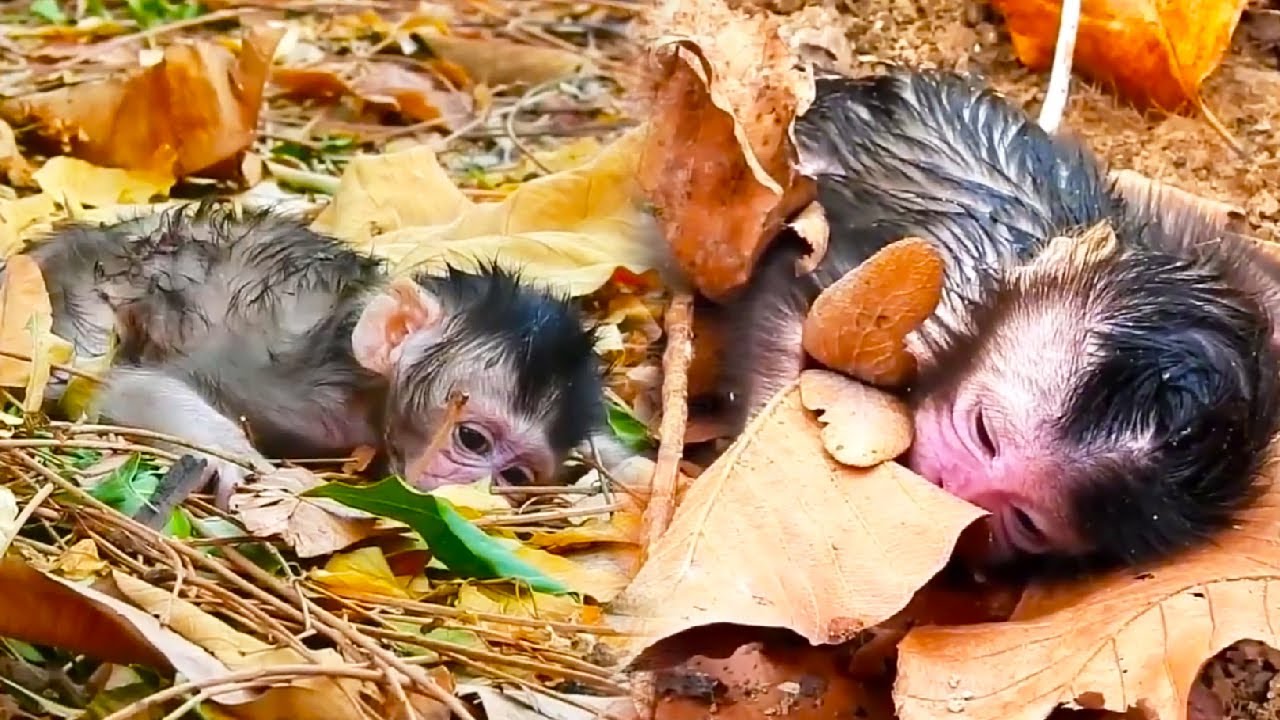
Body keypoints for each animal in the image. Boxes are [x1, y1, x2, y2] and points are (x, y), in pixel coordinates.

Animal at [12, 202, 628, 507]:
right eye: (472, 439)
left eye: (517, 475)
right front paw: (231, 455)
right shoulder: (303, 393)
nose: (473, 494)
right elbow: (116, 387)